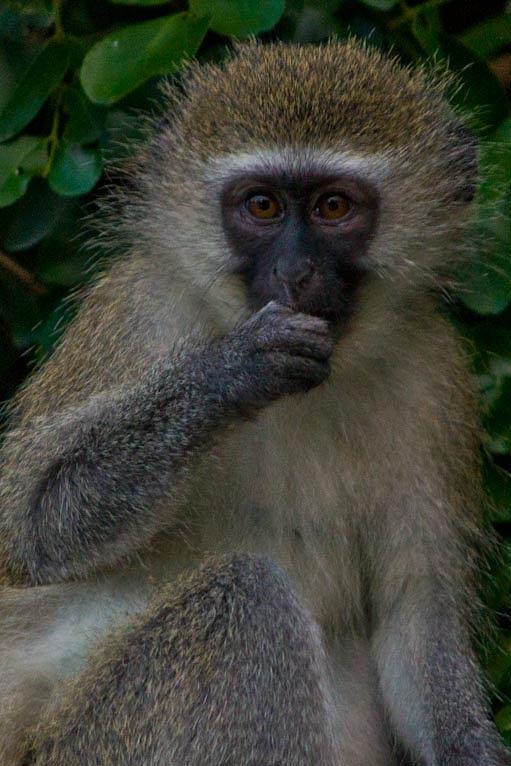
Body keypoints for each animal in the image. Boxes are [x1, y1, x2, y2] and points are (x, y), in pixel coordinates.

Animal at [0, 38, 508, 765]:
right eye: (261, 206)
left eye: (332, 208)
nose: (293, 273)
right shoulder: (138, 315)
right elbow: (27, 523)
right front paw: (236, 370)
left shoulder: (434, 376)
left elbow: (417, 629)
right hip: (88, 743)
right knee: (246, 601)